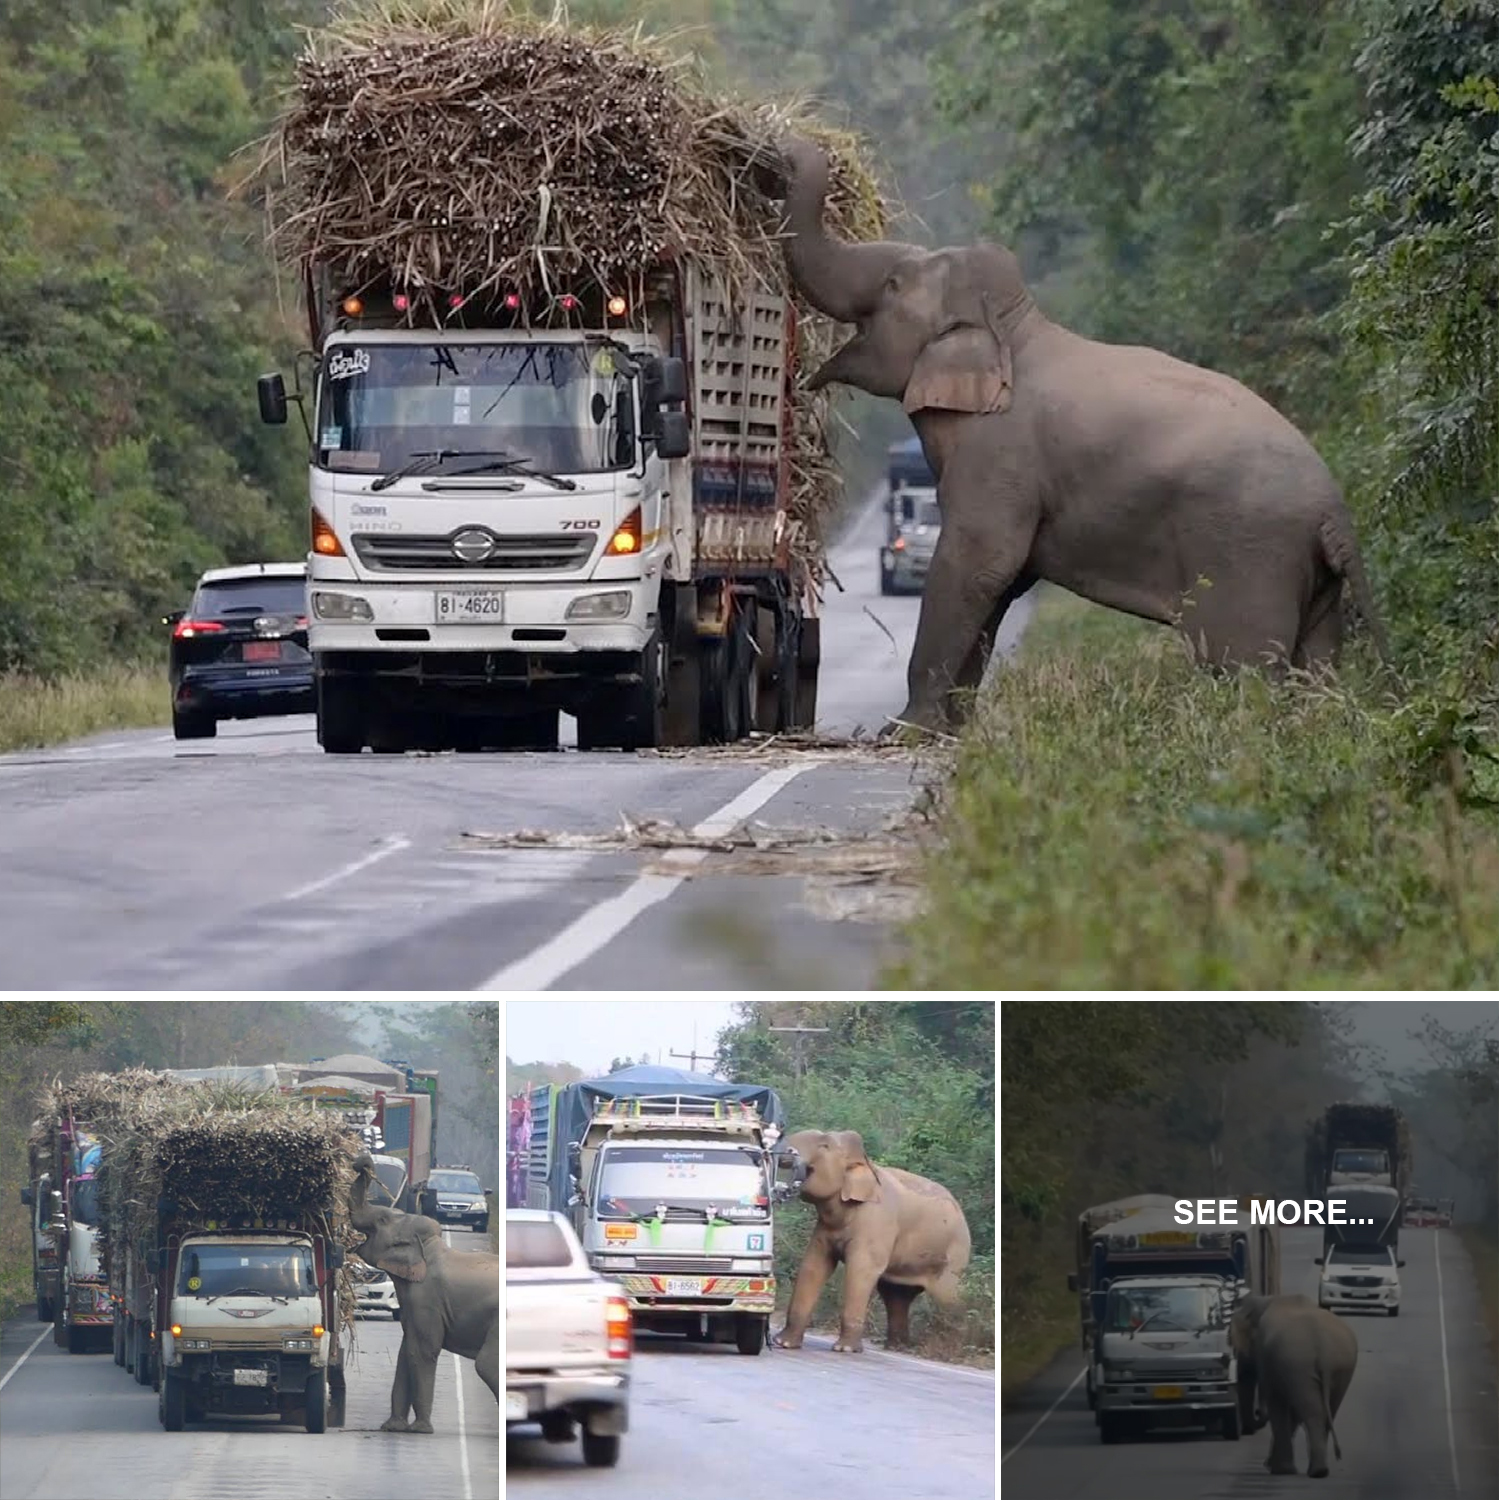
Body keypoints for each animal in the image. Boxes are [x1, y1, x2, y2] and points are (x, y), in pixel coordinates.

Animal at [349, 1151, 499, 1432]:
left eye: (383, 1220)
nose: (362, 1162)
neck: (429, 1247)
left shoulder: (426, 1297)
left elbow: (422, 1350)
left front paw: (420, 1429)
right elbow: (405, 1350)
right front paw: (392, 1427)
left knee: (486, 1365)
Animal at [772, 1129, 971, 1353]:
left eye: (825, 1146)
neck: (866, 1164)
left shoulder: (876, 1221)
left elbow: (861, 1270)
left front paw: (845, 1349)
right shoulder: (824, 1228)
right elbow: (814, 1265)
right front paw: (784, 1343)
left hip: (954, 1256)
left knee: (948, 1297)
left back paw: (950, 1347)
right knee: (896, 1296)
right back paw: (896, 1347)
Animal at [776, 136, 1388, 734]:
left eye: (893, 285)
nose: (784, 149)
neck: (1013, 328)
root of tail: (1334, 509)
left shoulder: (999, 455)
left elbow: (978, 562)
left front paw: (905, 731)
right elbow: (1002, 581)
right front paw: (953, 731)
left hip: (1250, 557)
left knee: (1245, 669)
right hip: (1310, 576)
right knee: (1317, 664)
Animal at [1230, 1292, 1358, 1478]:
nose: (1257, 1411)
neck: (1266, 1300)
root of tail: (1324, 1349)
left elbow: (1278, 1405)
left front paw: (1279, 1470)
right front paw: (1274, 1466)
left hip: (1298, 1362)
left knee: (1312, 1413)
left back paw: (1316, 1471)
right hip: (1341, 1367)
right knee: (1328, 1411)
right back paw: (1320, 1470)